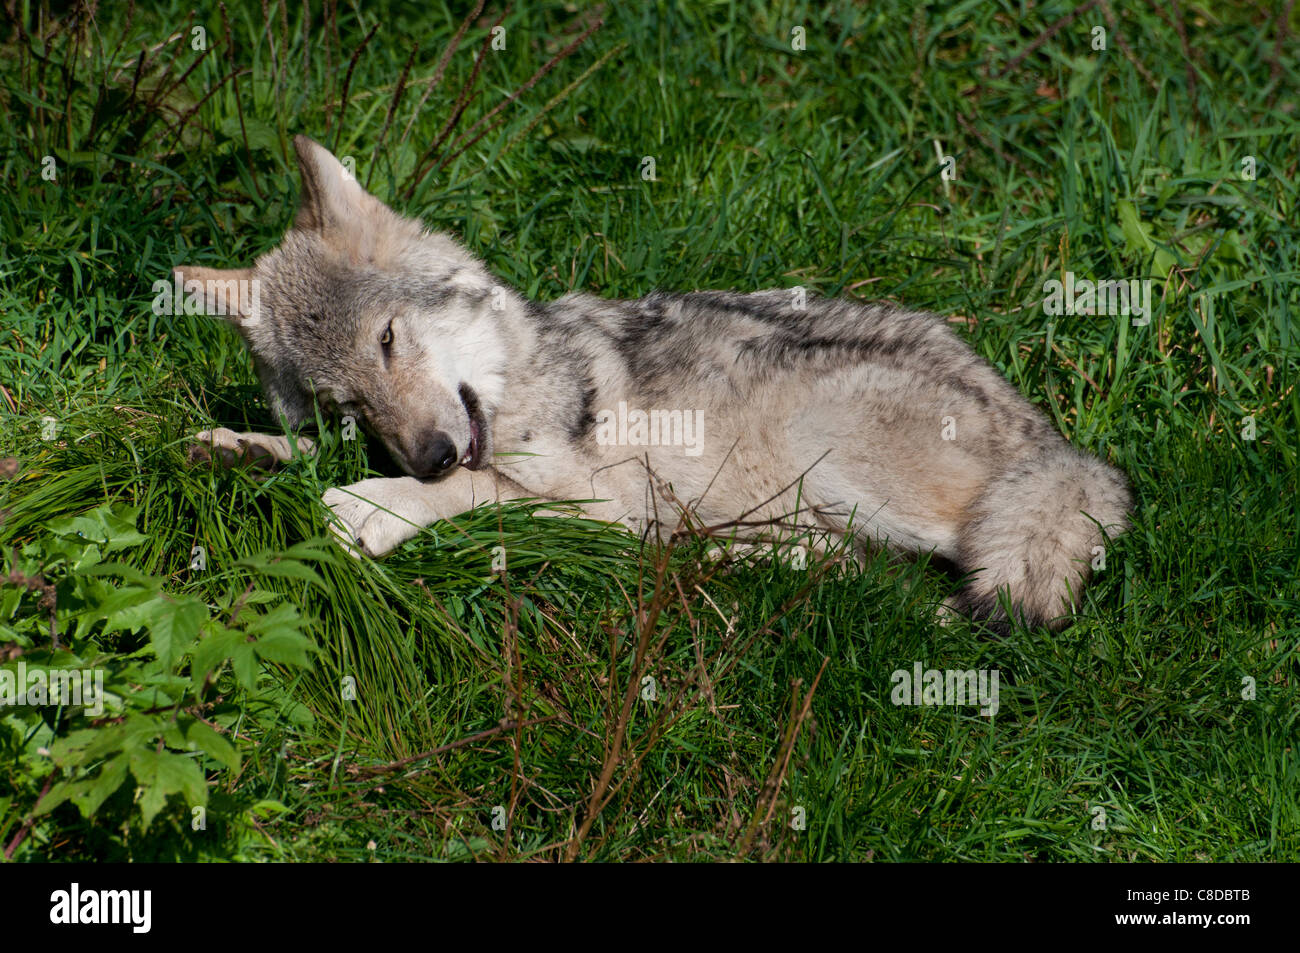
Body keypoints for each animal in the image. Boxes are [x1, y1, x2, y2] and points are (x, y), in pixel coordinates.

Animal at [175, 136, 1131, 631]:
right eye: (346, 404)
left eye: (387, 338)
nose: (431, 453)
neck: (529, 375)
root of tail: (1052, 436)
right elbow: (307, 452)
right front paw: (245, 448)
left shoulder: (603, 500)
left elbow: (478, 493)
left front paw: (375, 507)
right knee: (842, 564)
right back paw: (714, 556)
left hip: (829, 454)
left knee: (945, 559)